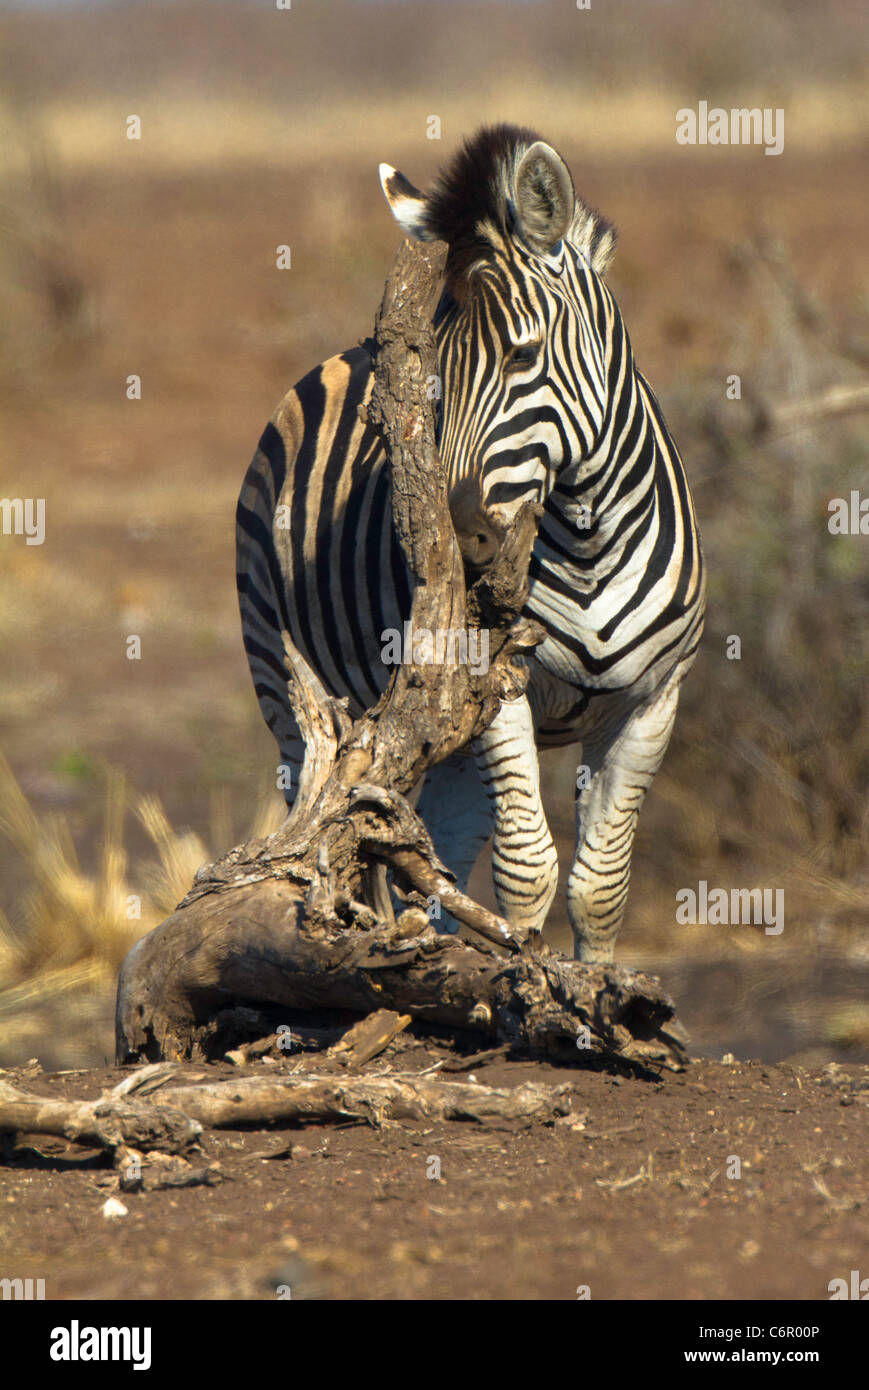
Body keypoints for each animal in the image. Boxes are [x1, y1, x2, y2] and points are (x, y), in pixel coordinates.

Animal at [236, 124, 705, 963]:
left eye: (522, 355)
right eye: (428, 375)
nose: (457, 546)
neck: (585, 541)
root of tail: (331, 358)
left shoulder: (653, 700)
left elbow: (600, 887)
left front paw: (593, 992)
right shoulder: (498, 695)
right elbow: (525, 871)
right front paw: (524, 981)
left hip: (444, 734)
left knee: (435, 859)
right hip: (292, 693)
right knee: (323, 828)